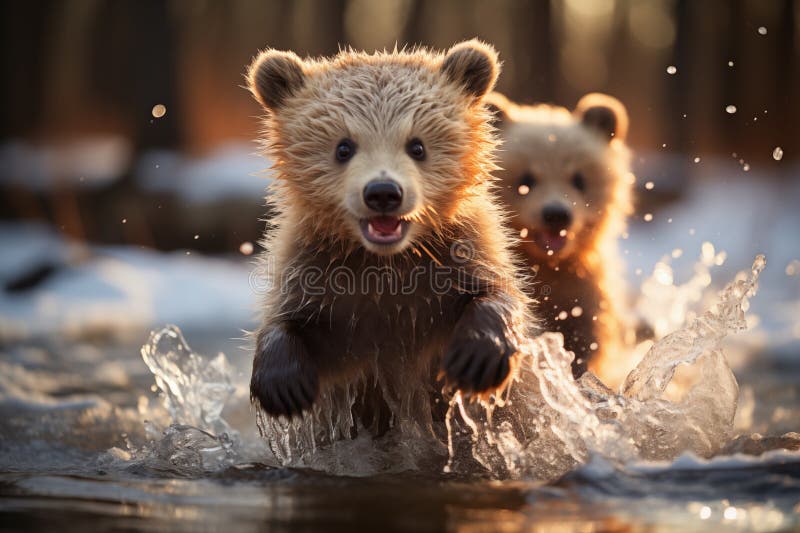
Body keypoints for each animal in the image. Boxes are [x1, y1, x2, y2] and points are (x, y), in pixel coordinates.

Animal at [246, 41, 535, 438]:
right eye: (344, 147)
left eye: (417, 146)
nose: (383, 192)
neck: (388, 261)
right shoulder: (326, 285)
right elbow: (289, 322)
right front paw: (284, 385)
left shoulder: (452, 264)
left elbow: (497, 293)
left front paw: (477, 356)